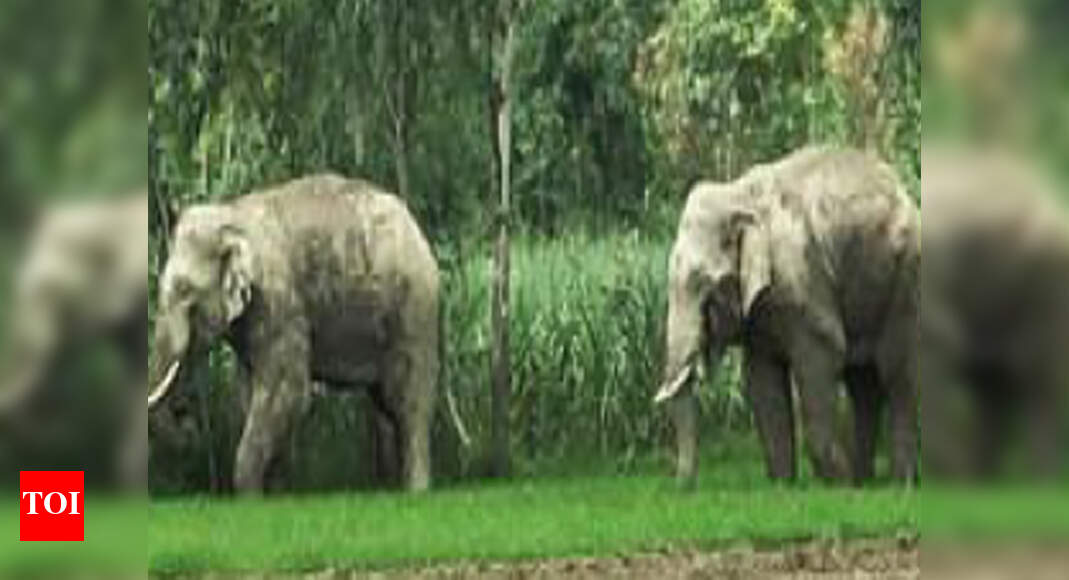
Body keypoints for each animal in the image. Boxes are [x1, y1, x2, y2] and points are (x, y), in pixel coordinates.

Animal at [146, 174, 440, 494]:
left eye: (186, 293)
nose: (189, 426)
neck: (233, 216)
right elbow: (253, 393)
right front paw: (275, 493)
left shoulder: (279, 302)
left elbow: (288, 390)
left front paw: (251, 496)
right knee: (386, 405)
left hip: (414, 311)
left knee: (407, 401)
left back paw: (416, 492)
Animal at [654, 146, 919, 485]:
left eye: (704, 285)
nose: (680, 486)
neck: (738, 193)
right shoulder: (759, 310)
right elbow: (761, 378)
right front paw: (783, 485)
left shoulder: (802, 277)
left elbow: (823, 354)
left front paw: (837, 485)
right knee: (863, 384)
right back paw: (866, 484)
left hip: (906, 278)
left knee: (896, 374)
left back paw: (899, 484)